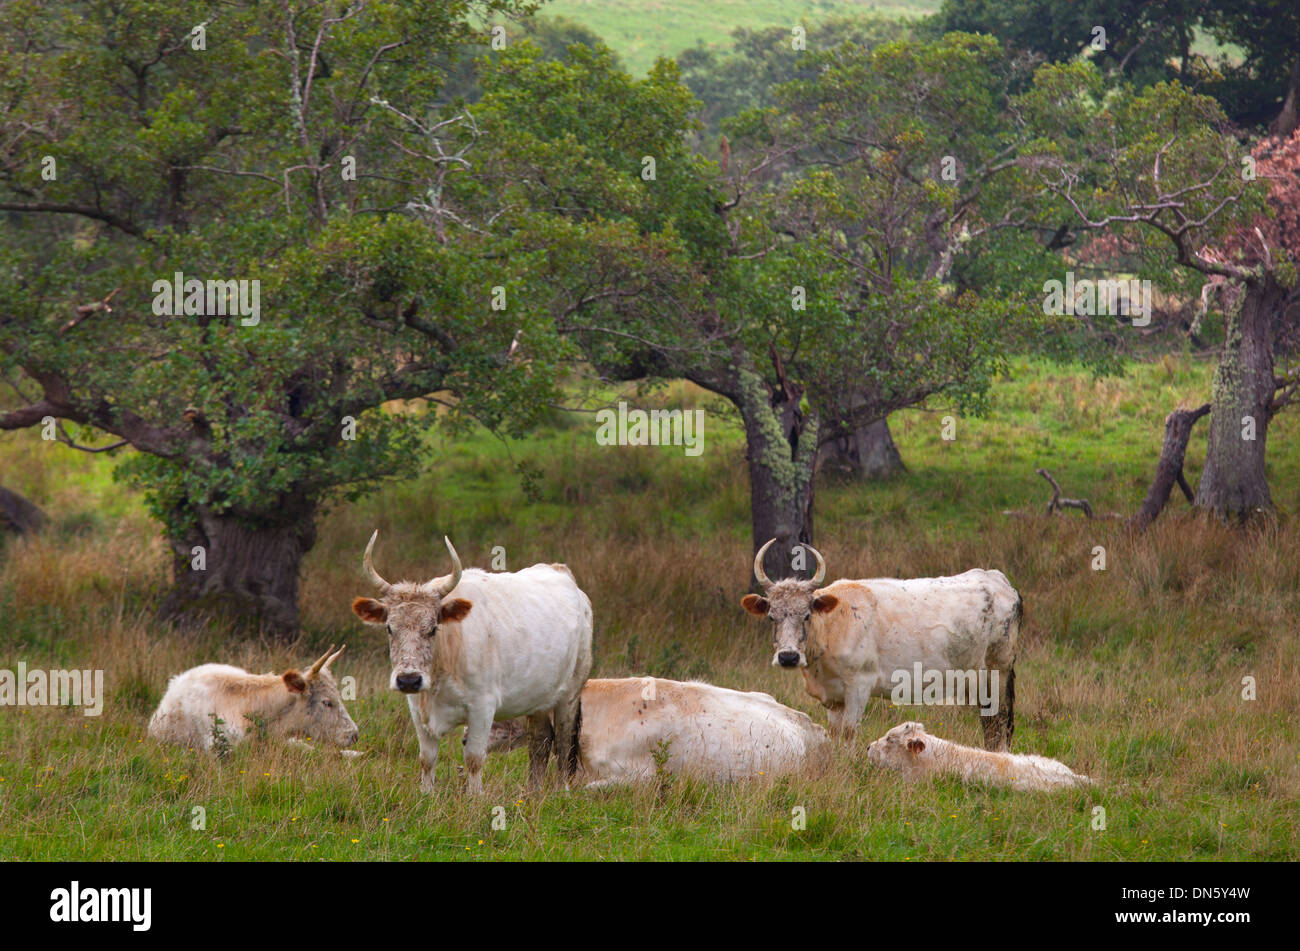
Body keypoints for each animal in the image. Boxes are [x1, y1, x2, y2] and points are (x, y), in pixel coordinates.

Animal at [350, 532, 592, 794]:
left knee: (564, 743)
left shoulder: (482, 706)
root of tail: (562, 572)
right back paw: (533, 792)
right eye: (389, 628)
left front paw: (475, 796)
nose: (409, 680)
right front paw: (426, 794)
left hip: (570, 693)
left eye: (433, 628)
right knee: (540, 740)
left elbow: (474, 758)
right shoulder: (416, 708)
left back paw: (562, 791)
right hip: (538, 698)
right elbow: (427, 758)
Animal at [740, 539, 1020, 750]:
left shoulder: (859, 685)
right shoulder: (833, 696)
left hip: (998, 670)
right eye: (771, 616)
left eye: (807, 615)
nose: (788, 657)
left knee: (999, 721)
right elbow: (835, 732)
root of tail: (997, 579)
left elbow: (849, 732)